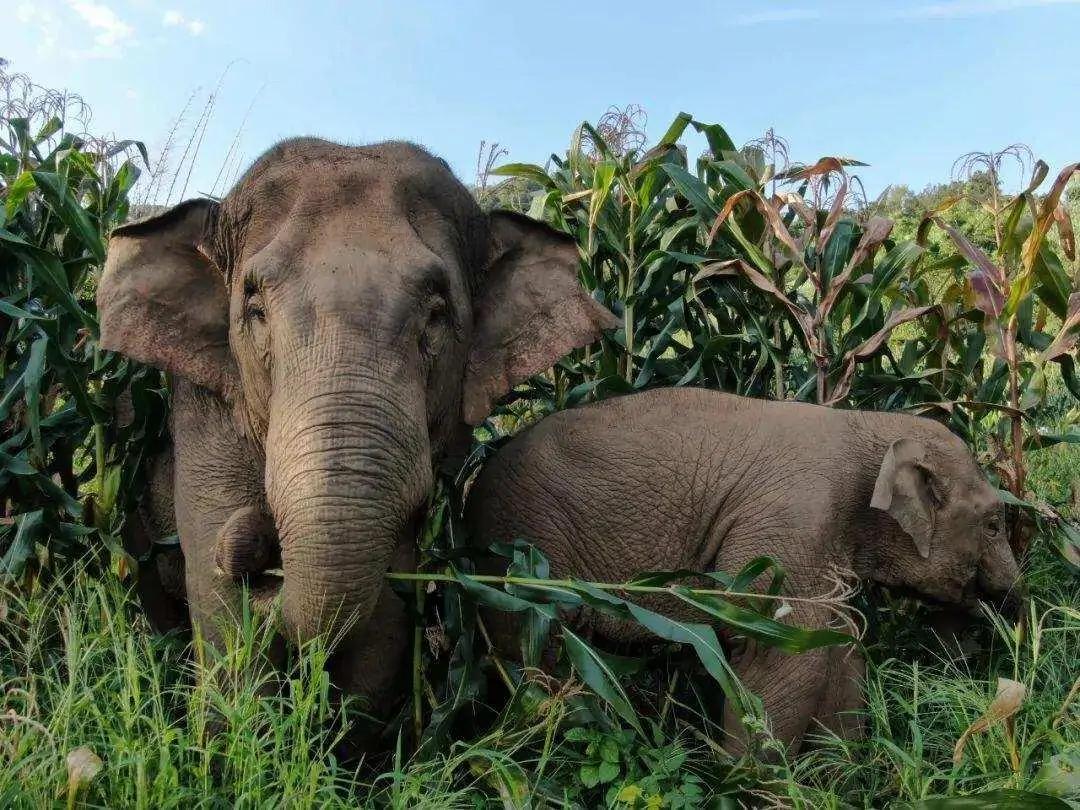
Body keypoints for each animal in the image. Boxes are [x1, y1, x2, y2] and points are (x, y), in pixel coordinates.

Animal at [96, 138, 618, 717]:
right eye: (255, 309)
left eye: (437, 313)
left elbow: (382, 613)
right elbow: (220, 608)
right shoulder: (207, 410)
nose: (254, 539)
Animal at [463, 387, 1023, 754]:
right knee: (536, 656)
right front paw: (749, 786)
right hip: (523, 555)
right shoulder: (792, 521)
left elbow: (838, 644)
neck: (869, 427)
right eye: (995, 524)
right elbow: (779, 651)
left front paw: (837, 773)